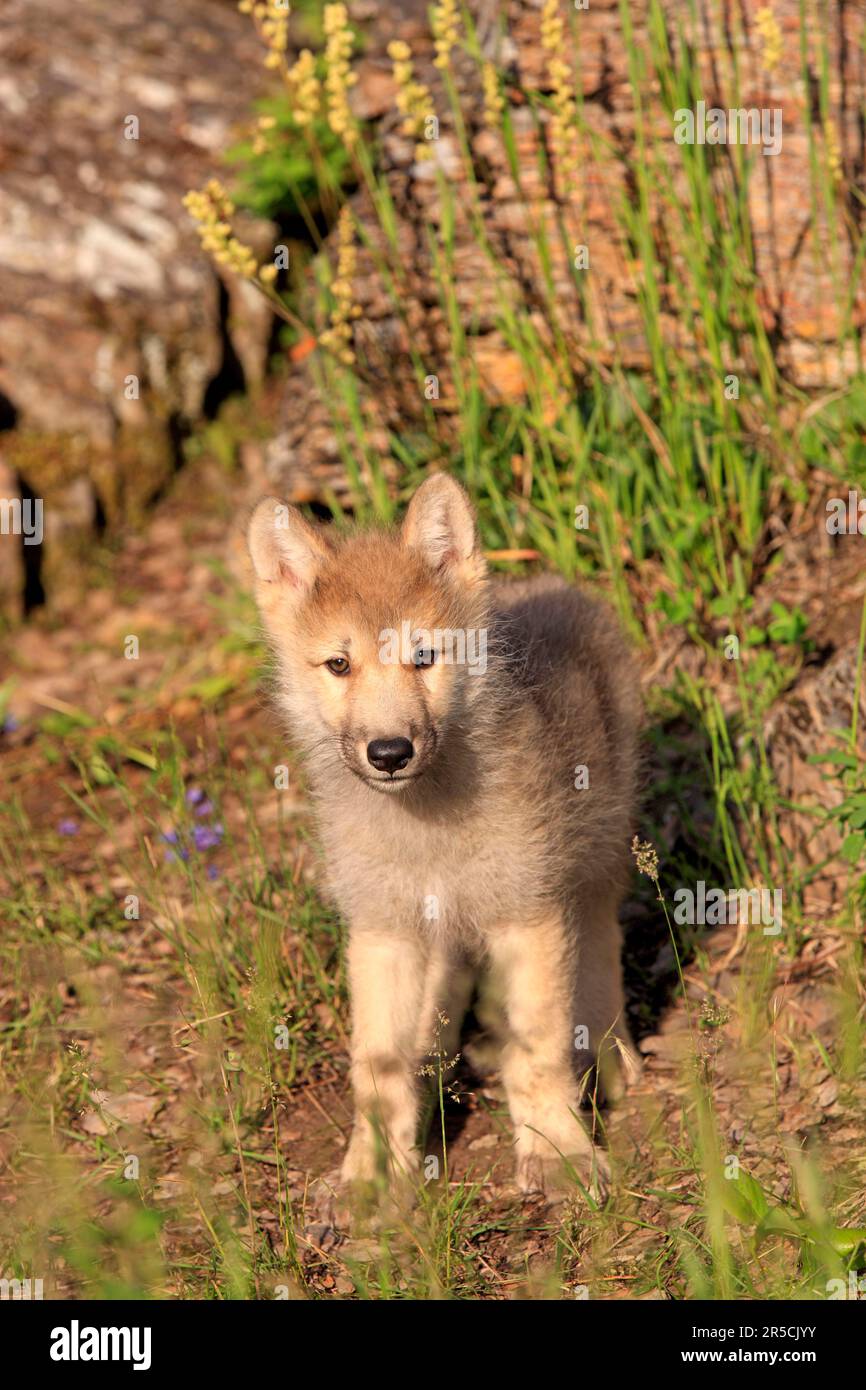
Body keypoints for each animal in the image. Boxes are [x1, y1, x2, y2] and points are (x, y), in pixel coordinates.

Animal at [248, 473, 642, 1198]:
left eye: (424, 658)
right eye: (339, 665)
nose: (389, 752)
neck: (426, 830)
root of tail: (559, 585)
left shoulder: (530, 913)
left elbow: (539, 1052)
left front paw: (558, 1154)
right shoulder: (385, 929)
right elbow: (377, 1072)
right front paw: (374, 1176)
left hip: (596, 863)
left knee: (603, 958)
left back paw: (611, 1061)